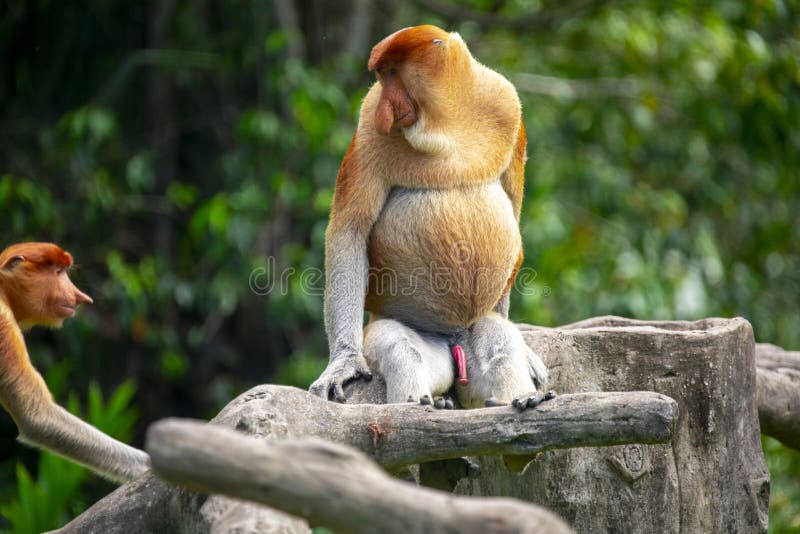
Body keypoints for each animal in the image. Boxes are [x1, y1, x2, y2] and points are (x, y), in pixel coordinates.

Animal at [0, 242, 150, 482]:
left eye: (64, 271)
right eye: (58, 272)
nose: (81, 297)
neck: (3, 291)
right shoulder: (3, 324)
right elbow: (38, 418)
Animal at [310, 25, 548, 411]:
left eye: (393, 72)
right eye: (381, 77)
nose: (387, 107)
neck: (446, 122)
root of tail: (452, 340)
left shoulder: (508, 104)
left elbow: (512, 211)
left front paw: (530, 360)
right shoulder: (369, 123)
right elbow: (350, 230)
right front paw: (344, 364)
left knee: (498, 338)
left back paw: (520, 400)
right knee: (400, 346)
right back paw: (423, 402)